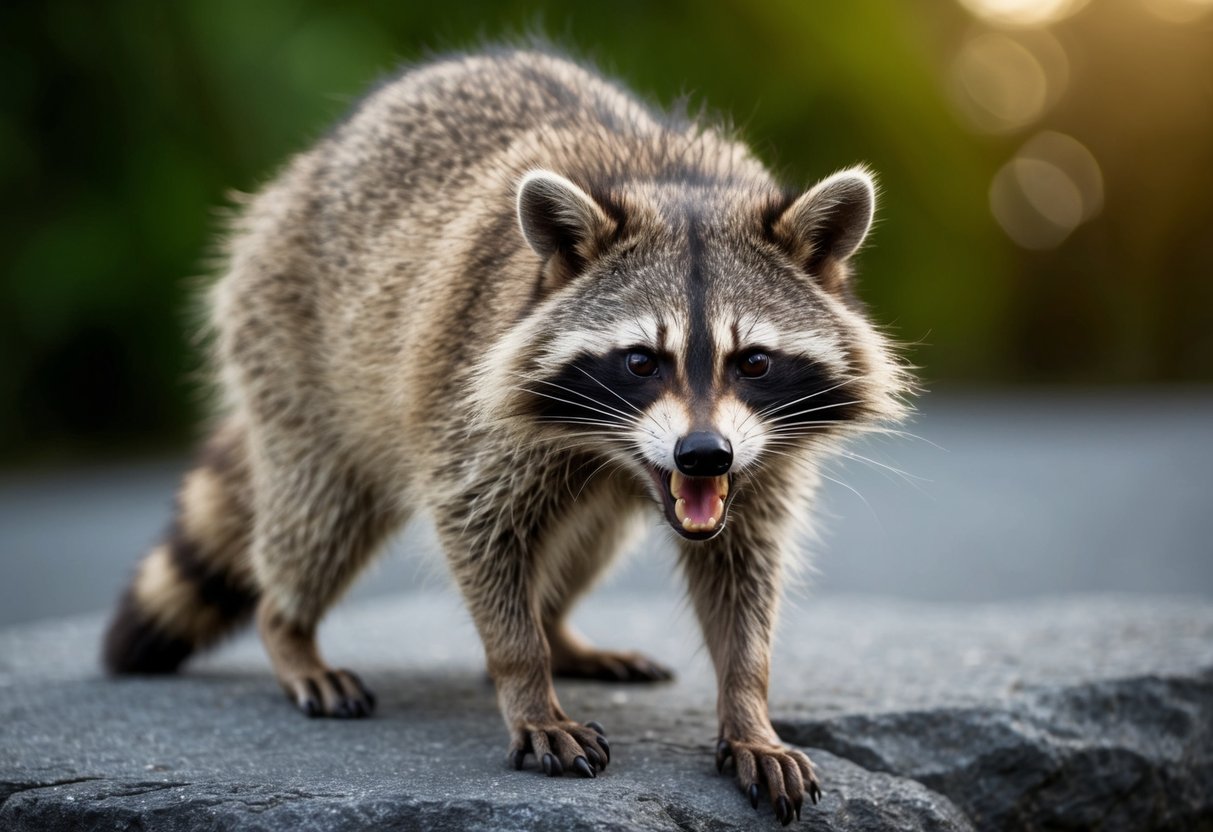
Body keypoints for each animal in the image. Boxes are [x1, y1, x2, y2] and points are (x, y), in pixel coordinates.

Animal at [103, 47, 910, 823]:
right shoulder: (468, 396)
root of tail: (305, 169)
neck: (672, 183)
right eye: (640, 361)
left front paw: (747, 706)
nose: (703, 454)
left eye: (755, 362)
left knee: (585, 541)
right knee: (321, 514)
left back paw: (561, 630)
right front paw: (526, 681)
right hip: (290, 342)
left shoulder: (761, 459)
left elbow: (744, 566)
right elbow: (478, 530)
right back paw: (290, 628)